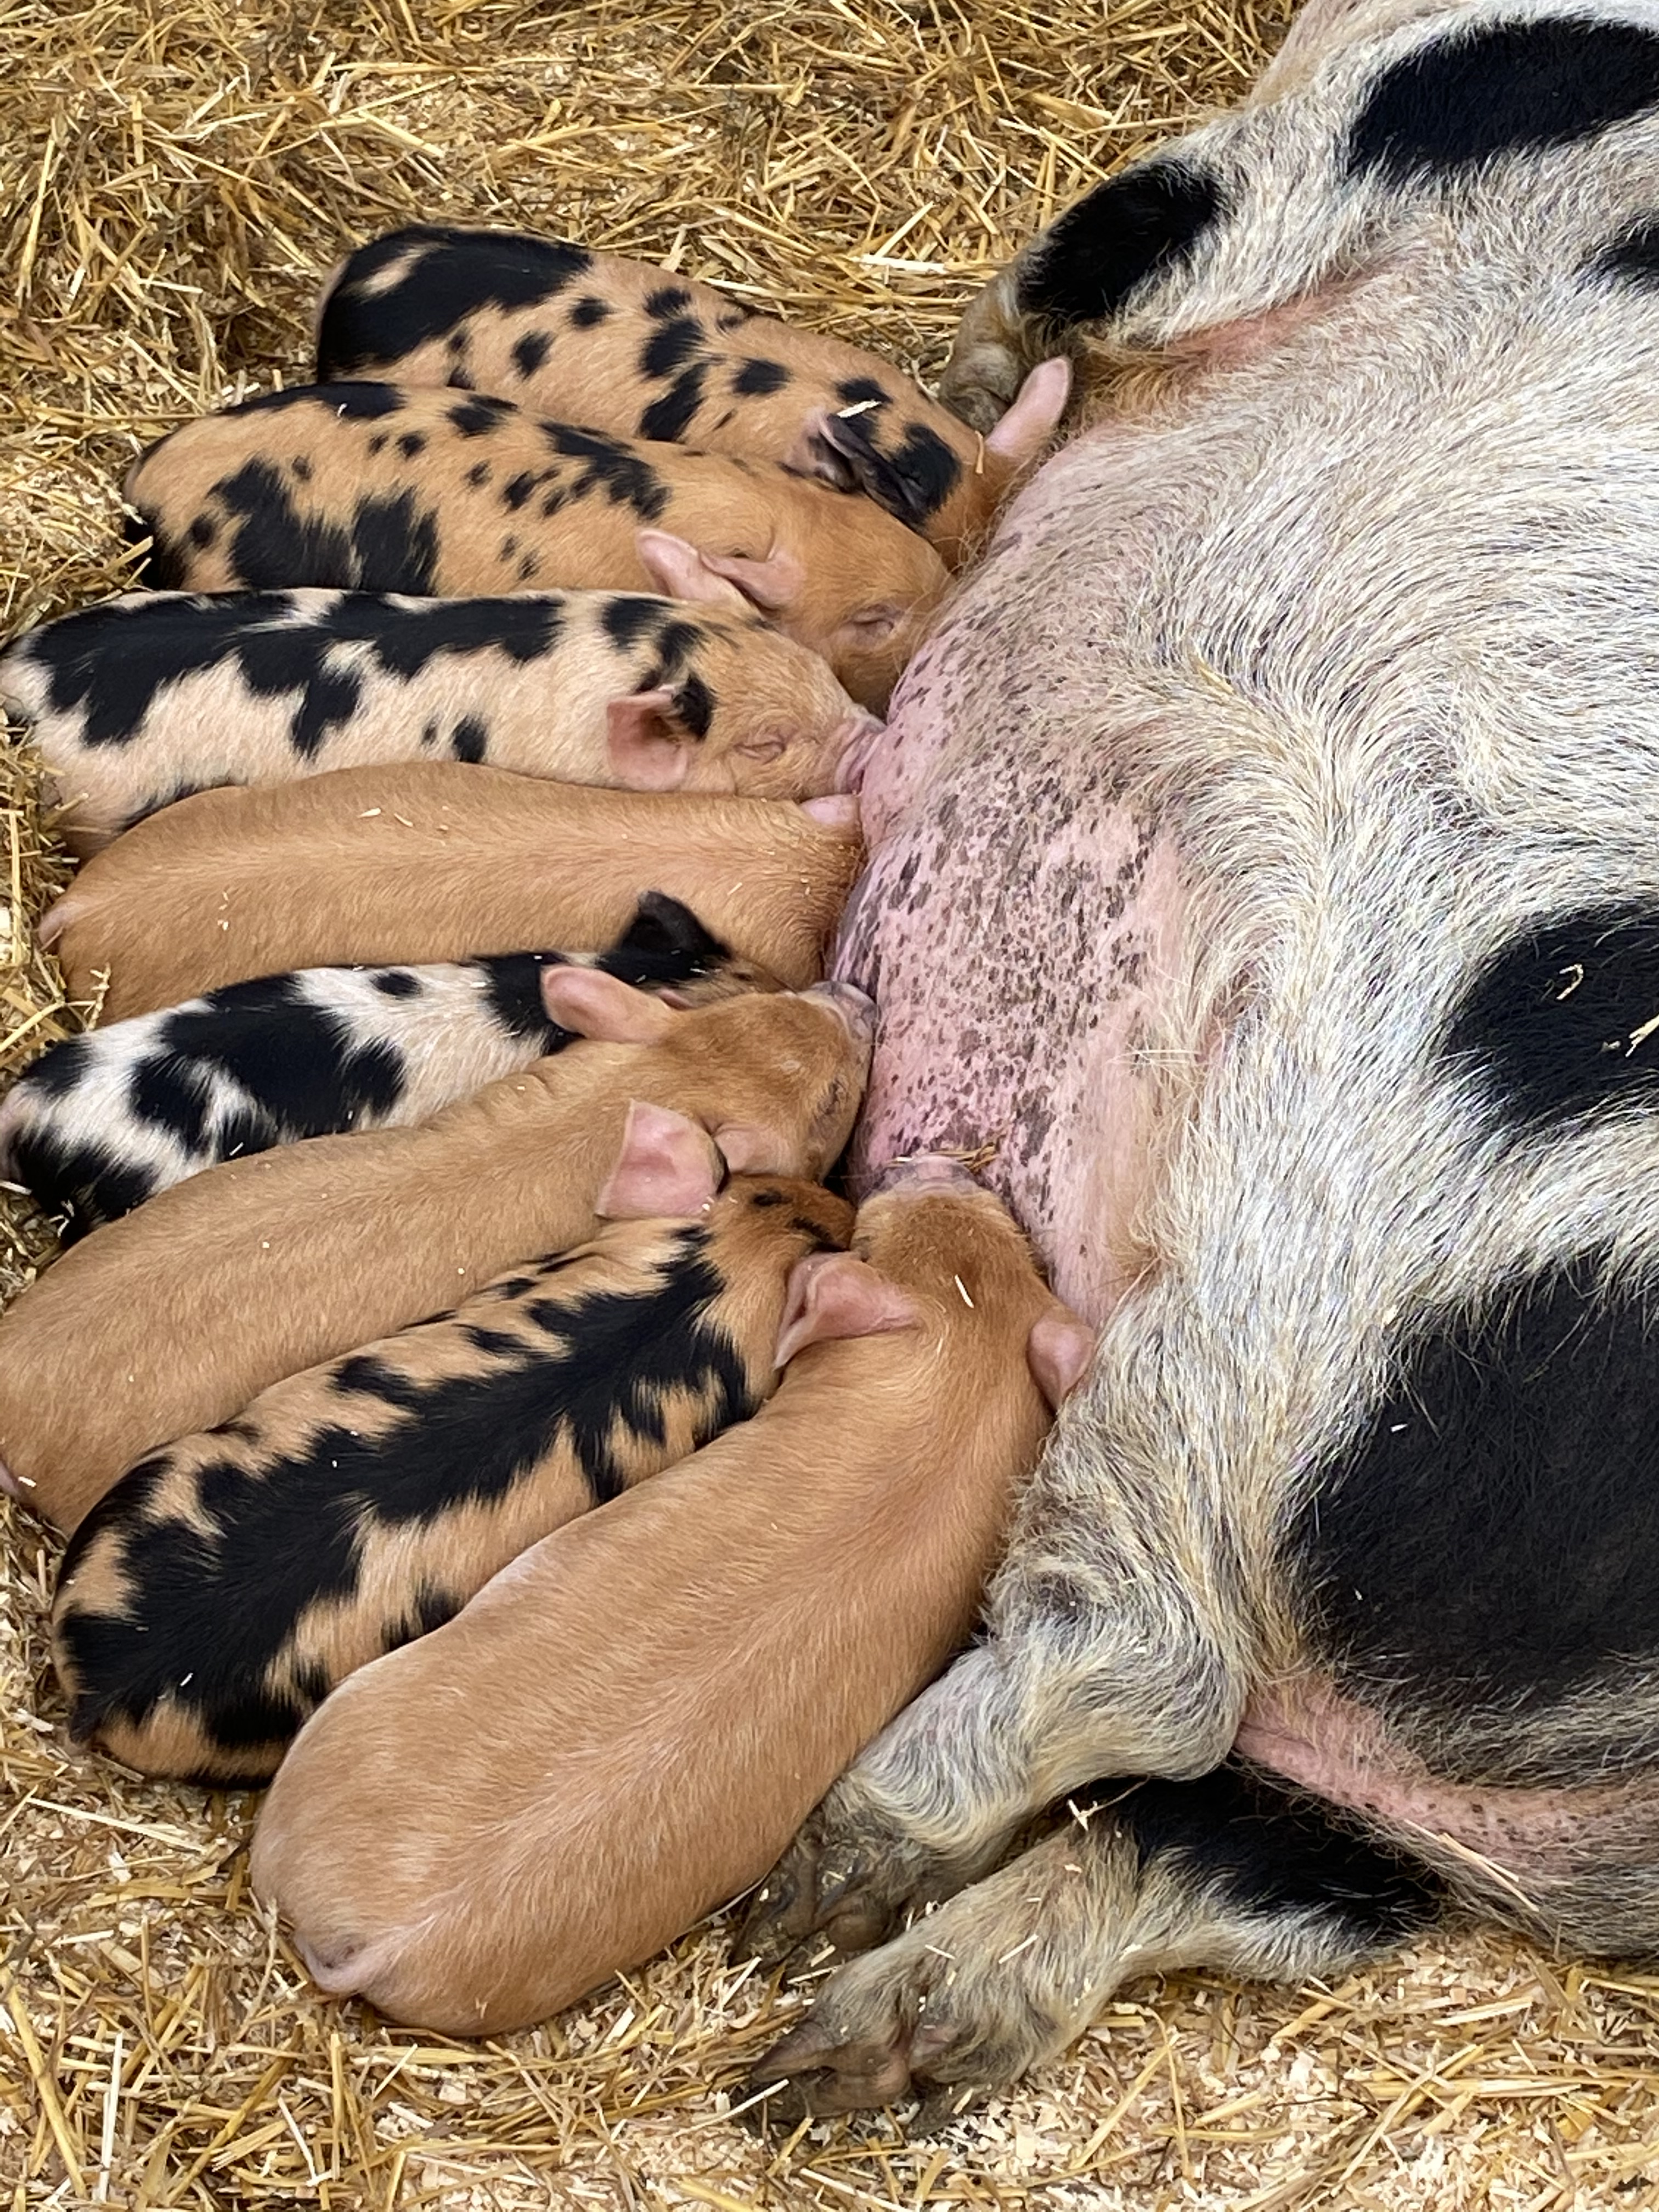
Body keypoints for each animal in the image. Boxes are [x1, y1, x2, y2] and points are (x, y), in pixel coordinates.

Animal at [723, 0, 1659, 2125]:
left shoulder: (1337, 124)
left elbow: (1118, 241)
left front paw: (978, 374)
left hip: (1316, 1243)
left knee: (1144, 1654)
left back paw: (811, 1888)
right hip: (1502, 1806)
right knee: (1261, 1854)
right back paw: (853, 2048)